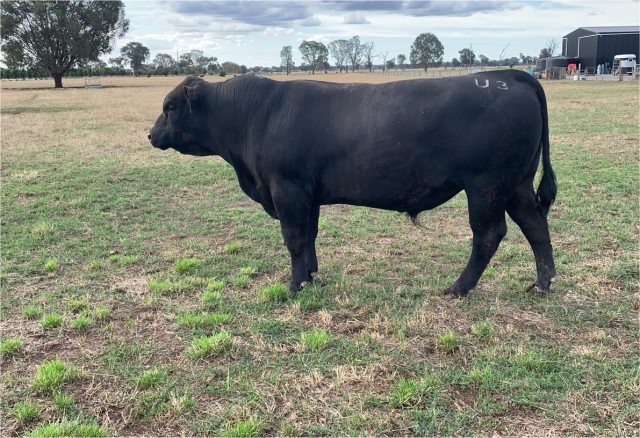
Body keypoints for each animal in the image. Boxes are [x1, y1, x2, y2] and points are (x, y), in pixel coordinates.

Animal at [149, 70, 557, 298]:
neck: (256, 114)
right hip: (516, 184)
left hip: (486, 186)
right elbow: (309, 236)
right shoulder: (308, 193)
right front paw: (311, 276)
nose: (150, 134)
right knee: (536, 226)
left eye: (170, 106)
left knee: (488, 235)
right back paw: (542, 283)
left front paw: (294, 286)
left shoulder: (287, 188)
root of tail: (510, 75)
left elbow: (293, 238)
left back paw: (459, 288)